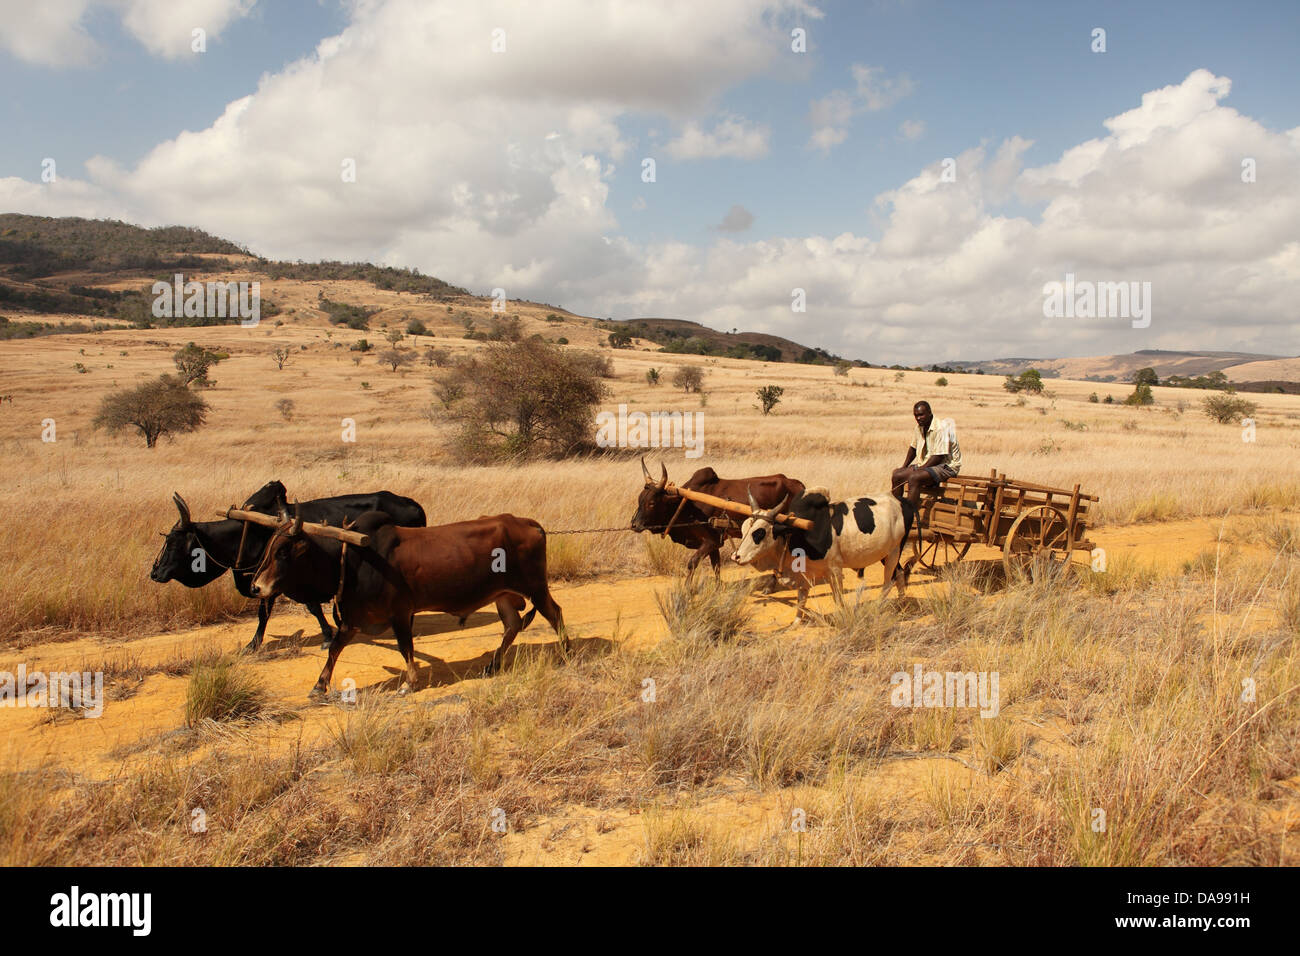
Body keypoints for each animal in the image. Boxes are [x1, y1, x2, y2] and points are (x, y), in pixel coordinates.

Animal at [149, 481, 426, 651]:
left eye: (173, 543)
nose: (155, 572)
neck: (252, 531)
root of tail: (413, 504)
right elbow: (306, 609)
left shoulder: (276, 581)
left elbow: (272, 612)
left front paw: (253, 644)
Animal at [249, 510, 567, 697]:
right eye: (270, 547)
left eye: (284, 551)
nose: (256, 586)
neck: (352, 560)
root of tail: (527, 523)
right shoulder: (353, 619)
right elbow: (335, 648)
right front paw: (319, 685)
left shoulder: (400, 613)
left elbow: (405, 648)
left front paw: (409, 683)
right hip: (503, 595)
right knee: (512, 626)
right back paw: (492, 665)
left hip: (535, 588)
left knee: (555, 613)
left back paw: (565, 653)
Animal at [629, 458, 805, 579]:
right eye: (639, 499)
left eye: (652, 503)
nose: (634, 525)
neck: (687, 505)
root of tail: (798, 484)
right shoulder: (713, 544)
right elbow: (716, 567)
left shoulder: (711, 541)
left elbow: (692, 563)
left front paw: (686, 592)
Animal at [732, 487, 915, 623]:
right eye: (743, 529)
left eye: (759, 533)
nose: (736, 557)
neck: (797, 534)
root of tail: (902, 501)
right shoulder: (804, 574)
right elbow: (801, 600)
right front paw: (796, 623)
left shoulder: (835, 570)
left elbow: (838, 599)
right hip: (887, 553)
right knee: (899, 574)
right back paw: (902, 605)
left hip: (894, 551)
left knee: (889, 581)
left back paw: (879, 606)